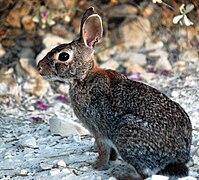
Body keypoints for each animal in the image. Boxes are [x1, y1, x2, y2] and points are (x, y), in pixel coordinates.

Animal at [37, 7, 191, 180]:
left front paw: (98, 166)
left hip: (126, 135)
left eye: (63, 56)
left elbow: (103, 148)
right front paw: (109, 160)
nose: (39, 67)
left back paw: (122, 174)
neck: (84, 76)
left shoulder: (98, 130)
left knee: (144, 174)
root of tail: (176, 156)